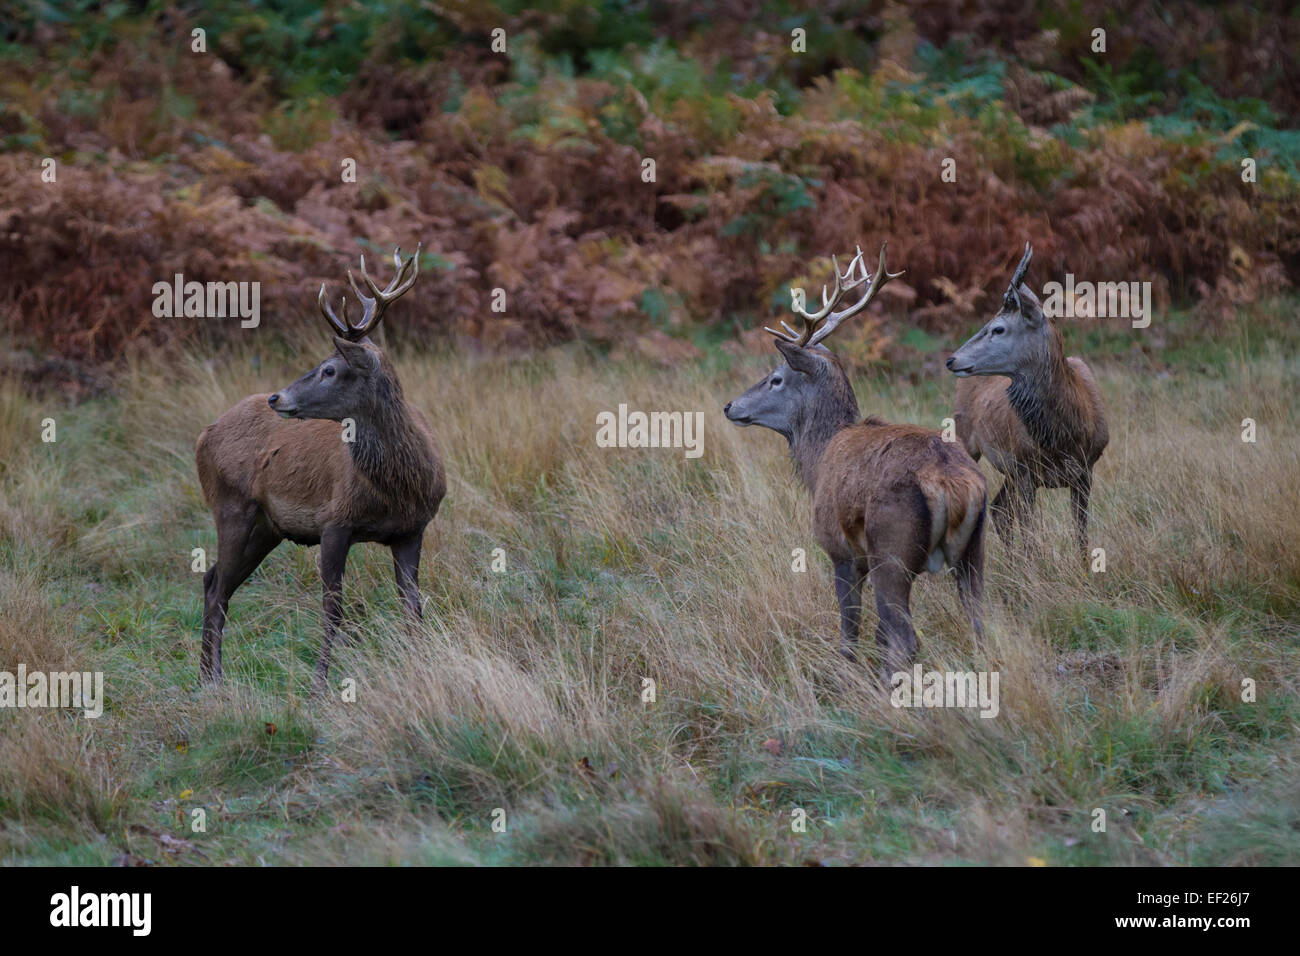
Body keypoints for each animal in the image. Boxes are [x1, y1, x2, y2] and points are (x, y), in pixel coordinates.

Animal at [195, 246, 446, 691]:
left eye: (330, 369)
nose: (277, 397)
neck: (397, 489)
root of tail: (203, 436)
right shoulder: (335, 521)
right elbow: (333, 610)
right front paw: (319, 686)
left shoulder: (413, 529)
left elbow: (412, 605)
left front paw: (421, 668)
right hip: (230, 503)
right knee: (218, 587)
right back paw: (215, 679)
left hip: (268, 526)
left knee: (213, 581)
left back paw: (207, 676)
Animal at [724, 243, 988, 677]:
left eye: (776, 378)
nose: (730, 406)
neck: (817, 461)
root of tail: (952, 480)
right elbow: (875, 637)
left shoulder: (841, 553)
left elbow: (849, 636)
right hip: (975, 549)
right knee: (981, 626)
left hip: (892, 551)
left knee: (905, 639)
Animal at [945, 243, 1108, 559]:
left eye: (998, 328)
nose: (952, 359)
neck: (1064, 437)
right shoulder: (1025, 471)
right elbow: (1031, 535)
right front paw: (1035, 566)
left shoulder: (1086, 469)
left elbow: (1081, 535)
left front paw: (1083, 567)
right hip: (966, 437)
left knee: (999, 510)